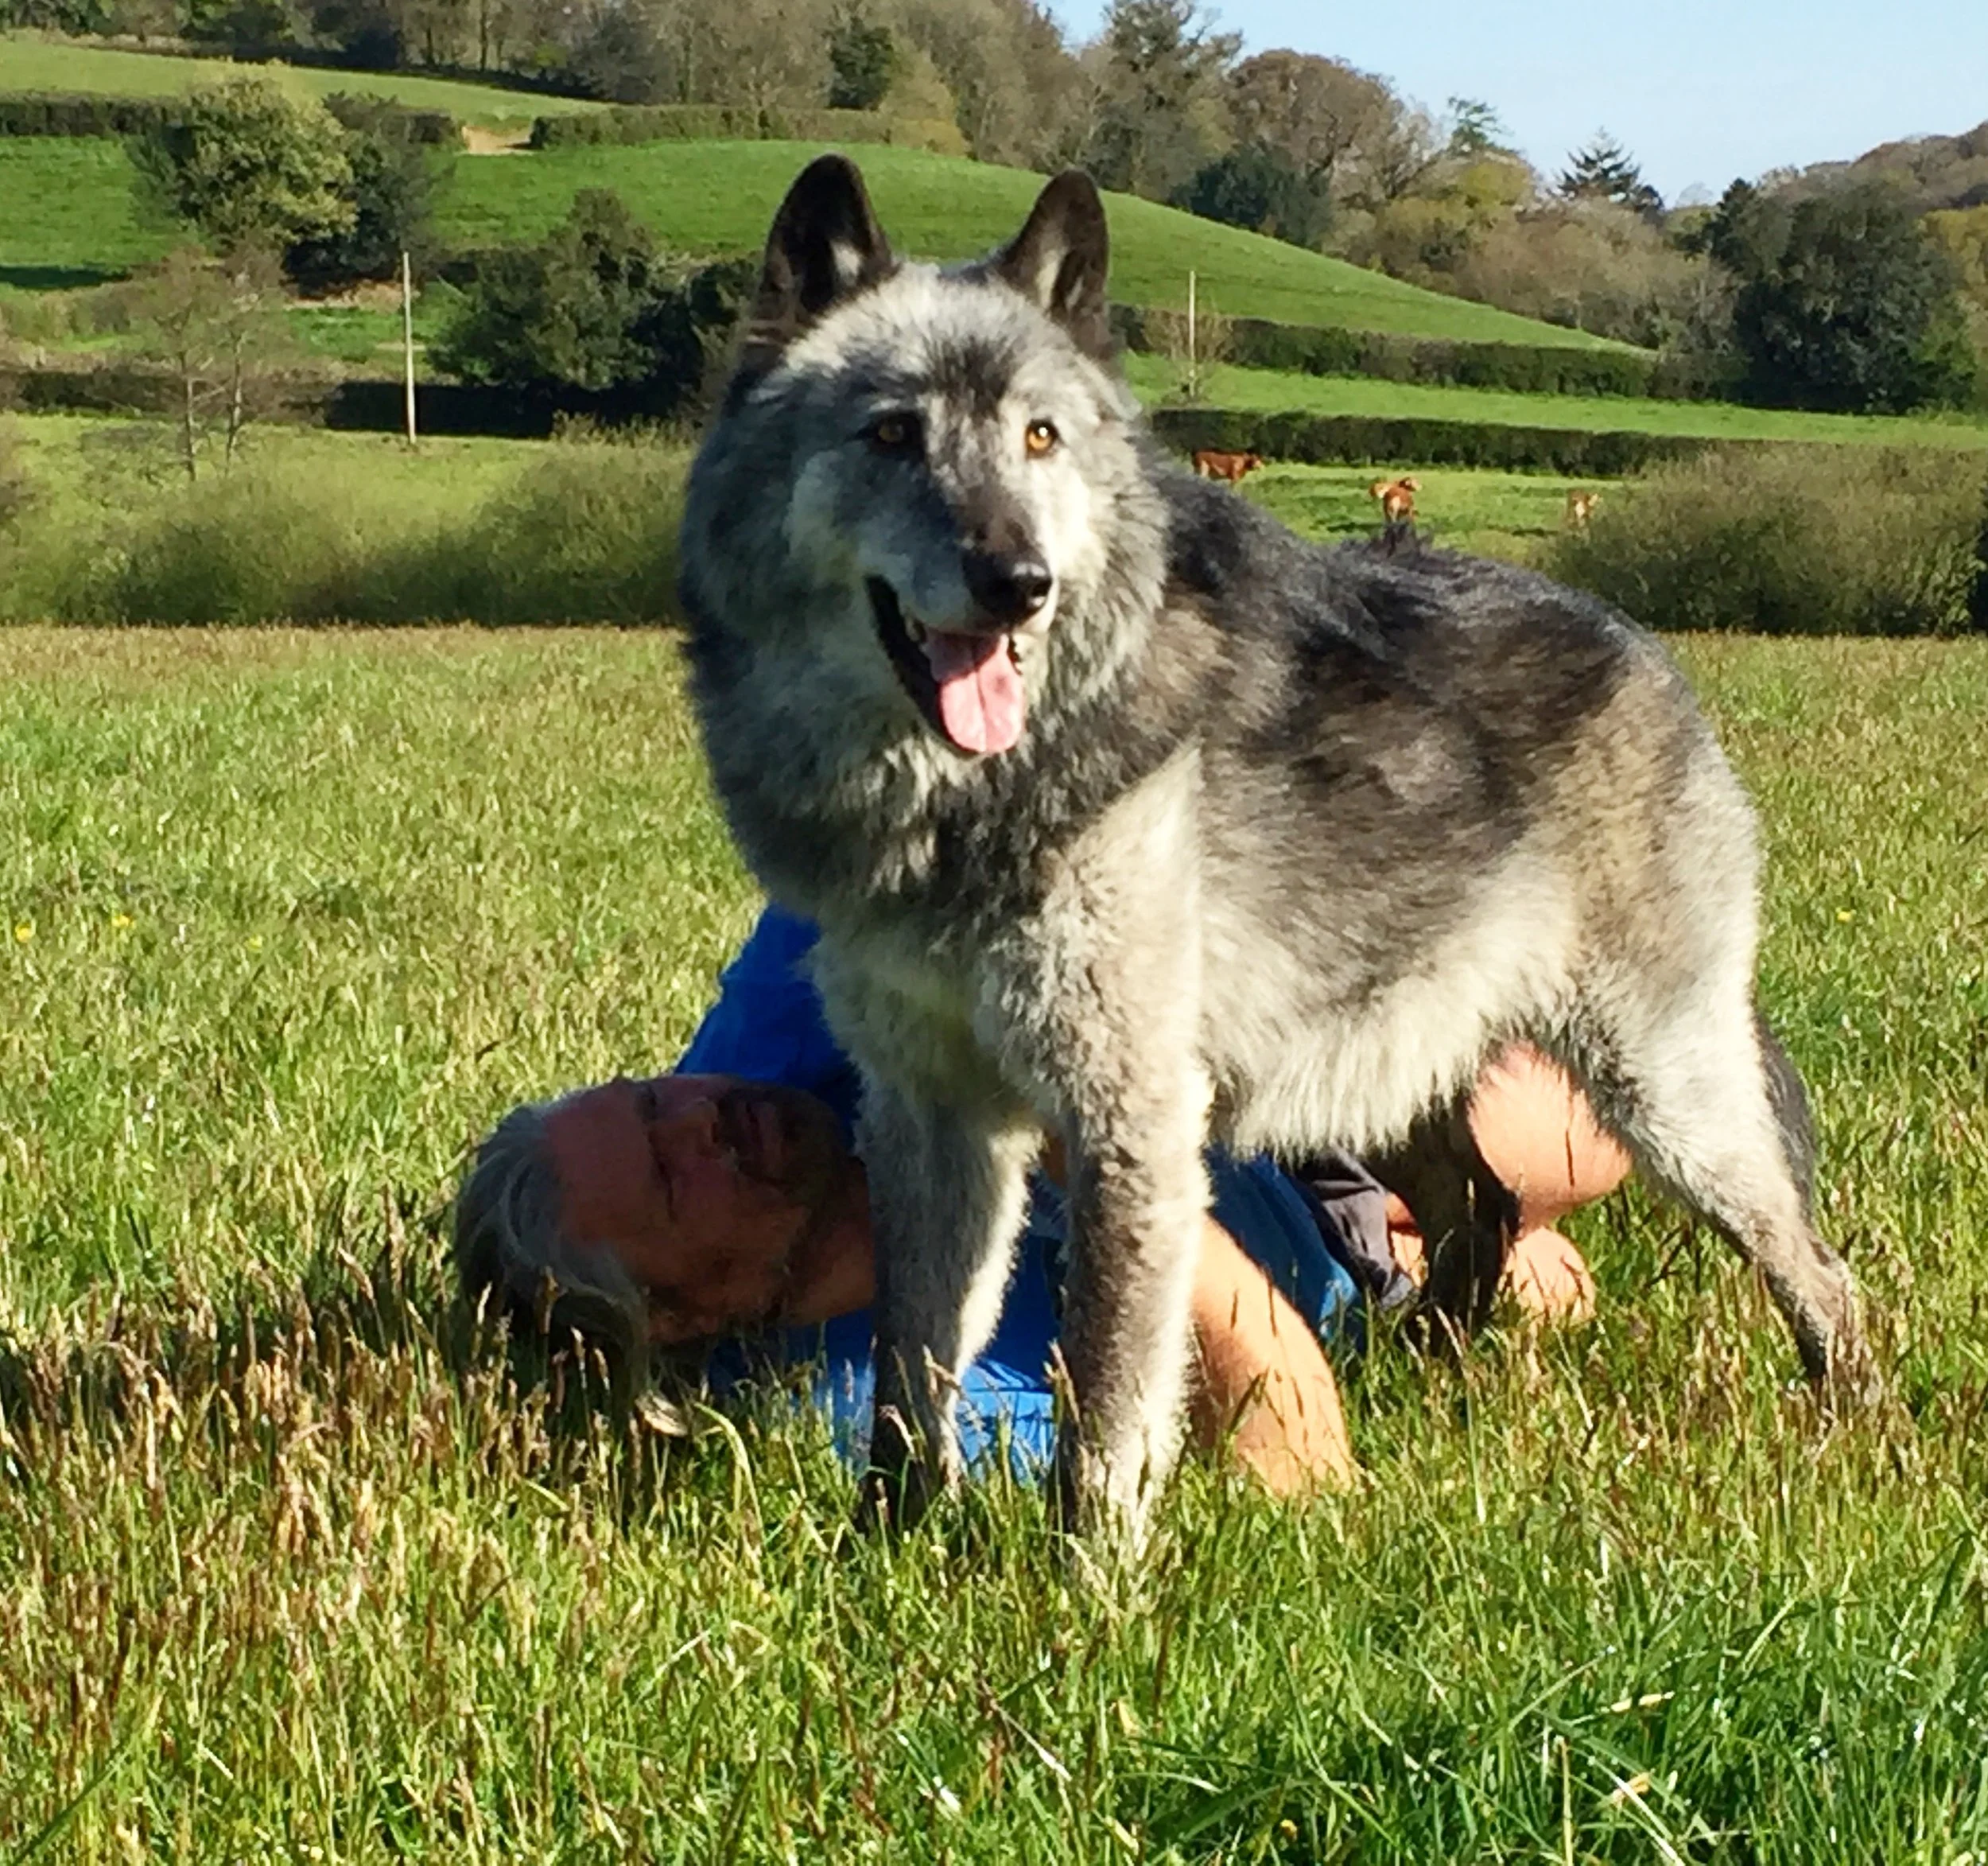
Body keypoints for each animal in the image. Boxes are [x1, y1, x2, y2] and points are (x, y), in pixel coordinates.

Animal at [678, 156, 1867, 1543]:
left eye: (1040, 438)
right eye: (889, 435)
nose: (1020, 581)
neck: (963, 800)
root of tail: (1644, 651)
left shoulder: (1128, 1117)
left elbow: (1106, 1405)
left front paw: (1086, 1586)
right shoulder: (933, 1115)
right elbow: (912, 1369)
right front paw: (892, 1545)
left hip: (1660, 1094)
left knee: (1817, 1270)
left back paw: (1855, 1435)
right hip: (1406, 1071)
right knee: (1480, 1216)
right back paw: (1429, 1388)